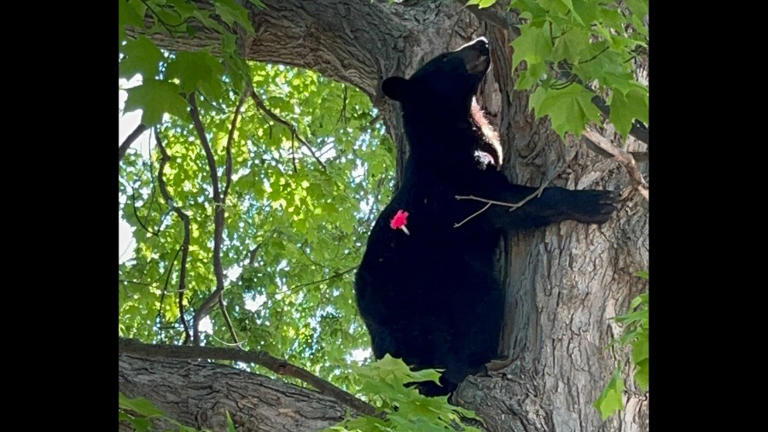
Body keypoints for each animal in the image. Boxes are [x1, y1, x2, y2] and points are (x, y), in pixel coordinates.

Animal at [354, 37, 618, 397]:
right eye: (446, 57)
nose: (481, 42)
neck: (455, 129)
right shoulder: (458, 182)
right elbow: (512, 203)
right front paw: (595, 202)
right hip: (423, 289)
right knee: (470, 312)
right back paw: (469, 366)